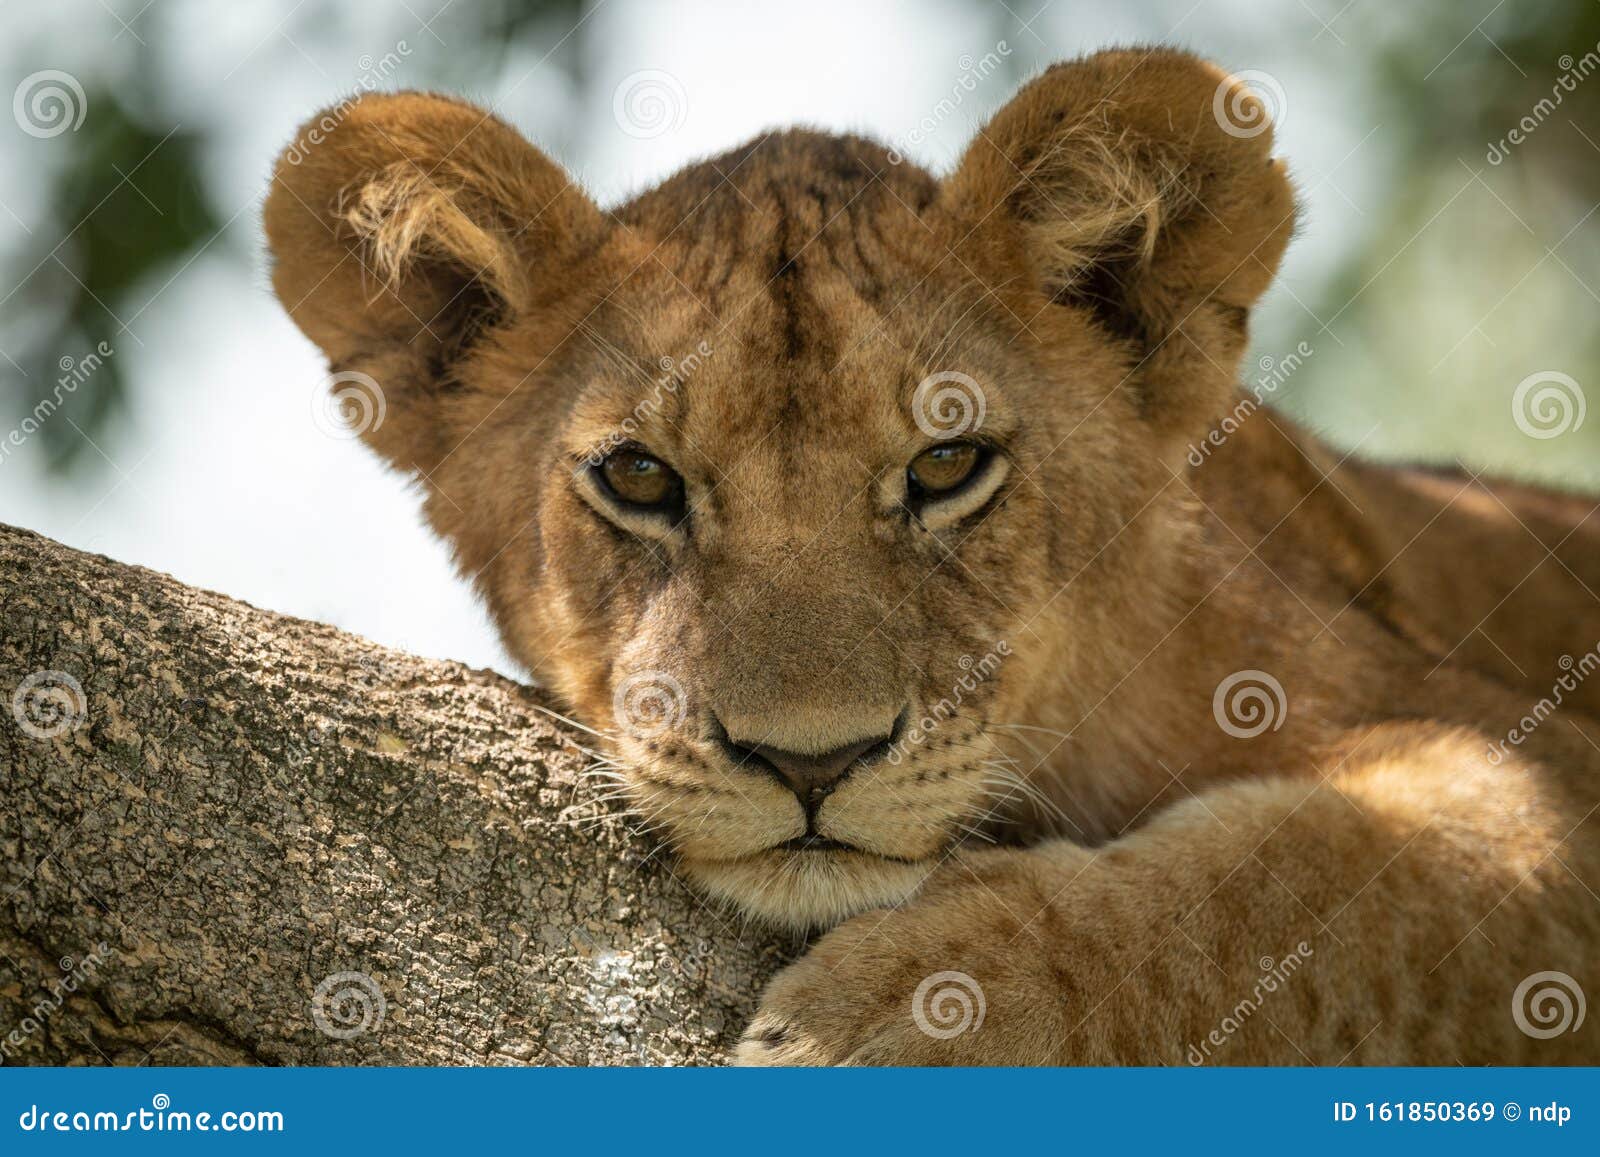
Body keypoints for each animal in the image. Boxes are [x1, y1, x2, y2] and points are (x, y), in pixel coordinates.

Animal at [264, 49, 1600, 1065]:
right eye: (639, 478)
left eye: (947, 465)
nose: (811, 761)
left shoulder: (1533, 752)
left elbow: (1300, 885)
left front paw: (928, 1008)